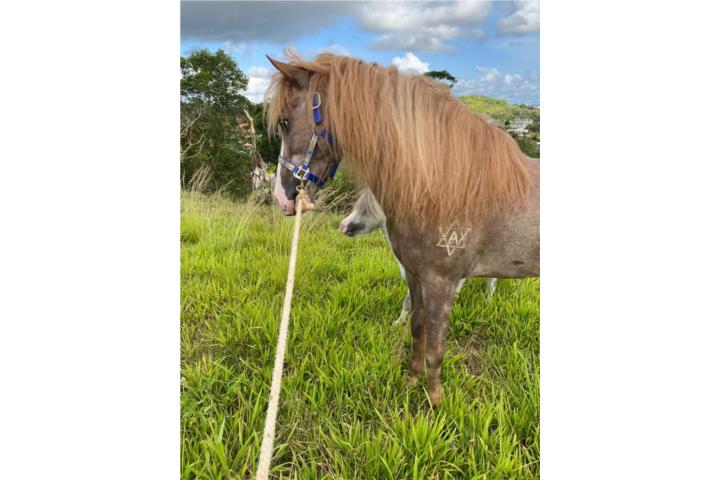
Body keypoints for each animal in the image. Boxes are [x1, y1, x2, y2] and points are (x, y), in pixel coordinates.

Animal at [340, 188, 498, 325]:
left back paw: (487, 303)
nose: (343, 226)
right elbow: (408, 303)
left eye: (366, 208)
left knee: (491, 283)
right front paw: (398, 323)